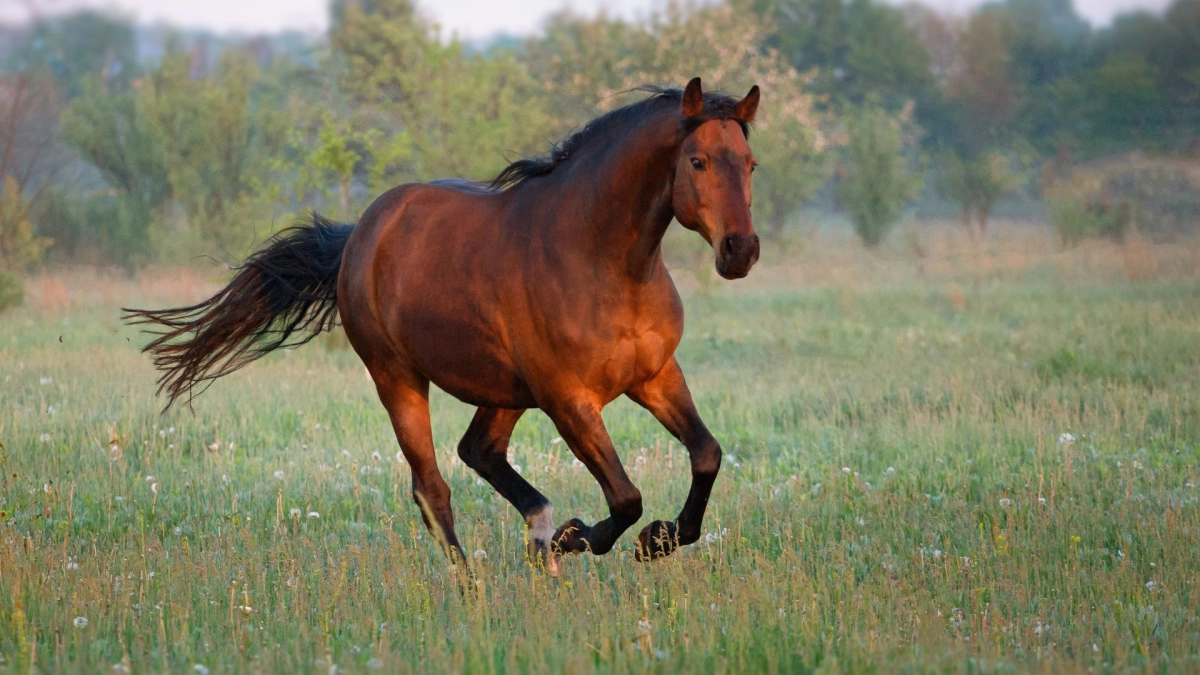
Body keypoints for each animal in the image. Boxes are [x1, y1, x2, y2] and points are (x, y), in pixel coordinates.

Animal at [124, 77, 761, 572]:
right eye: (698, 161)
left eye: (751, 164)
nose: (741, 251)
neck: (603, 261)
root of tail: (361, 233)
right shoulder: (570, 400)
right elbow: (626, 498)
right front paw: (583, 538)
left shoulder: (654, 376)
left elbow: (706, 455)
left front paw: (656, 540)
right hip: (399, 379)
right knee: (432, 488)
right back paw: (479, 582)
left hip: (507, 391)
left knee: (478, 451)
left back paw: (539, 536)